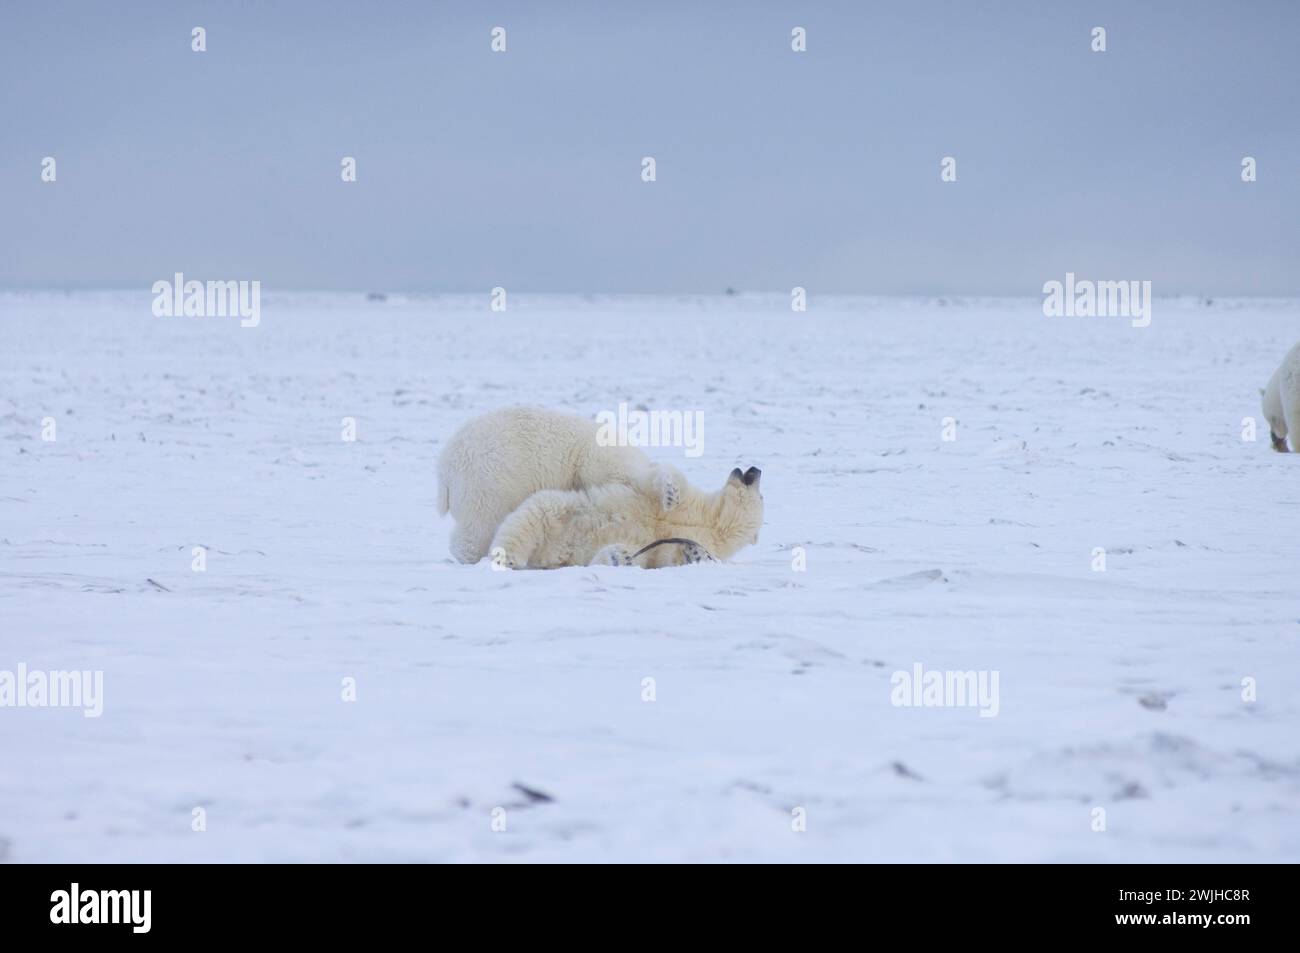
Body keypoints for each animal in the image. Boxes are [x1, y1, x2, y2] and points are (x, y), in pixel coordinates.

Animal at [490, 466, 764, 570]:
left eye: (762, 494)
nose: (756, 469)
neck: (709, 524)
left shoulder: (678, 545)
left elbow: (661, 557)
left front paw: (694, 555)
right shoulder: (689, 504)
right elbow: (658, 480)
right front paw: (670, 493)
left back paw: (618, 556)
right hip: (560, 511)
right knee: (532, 517)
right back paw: (505, 557)